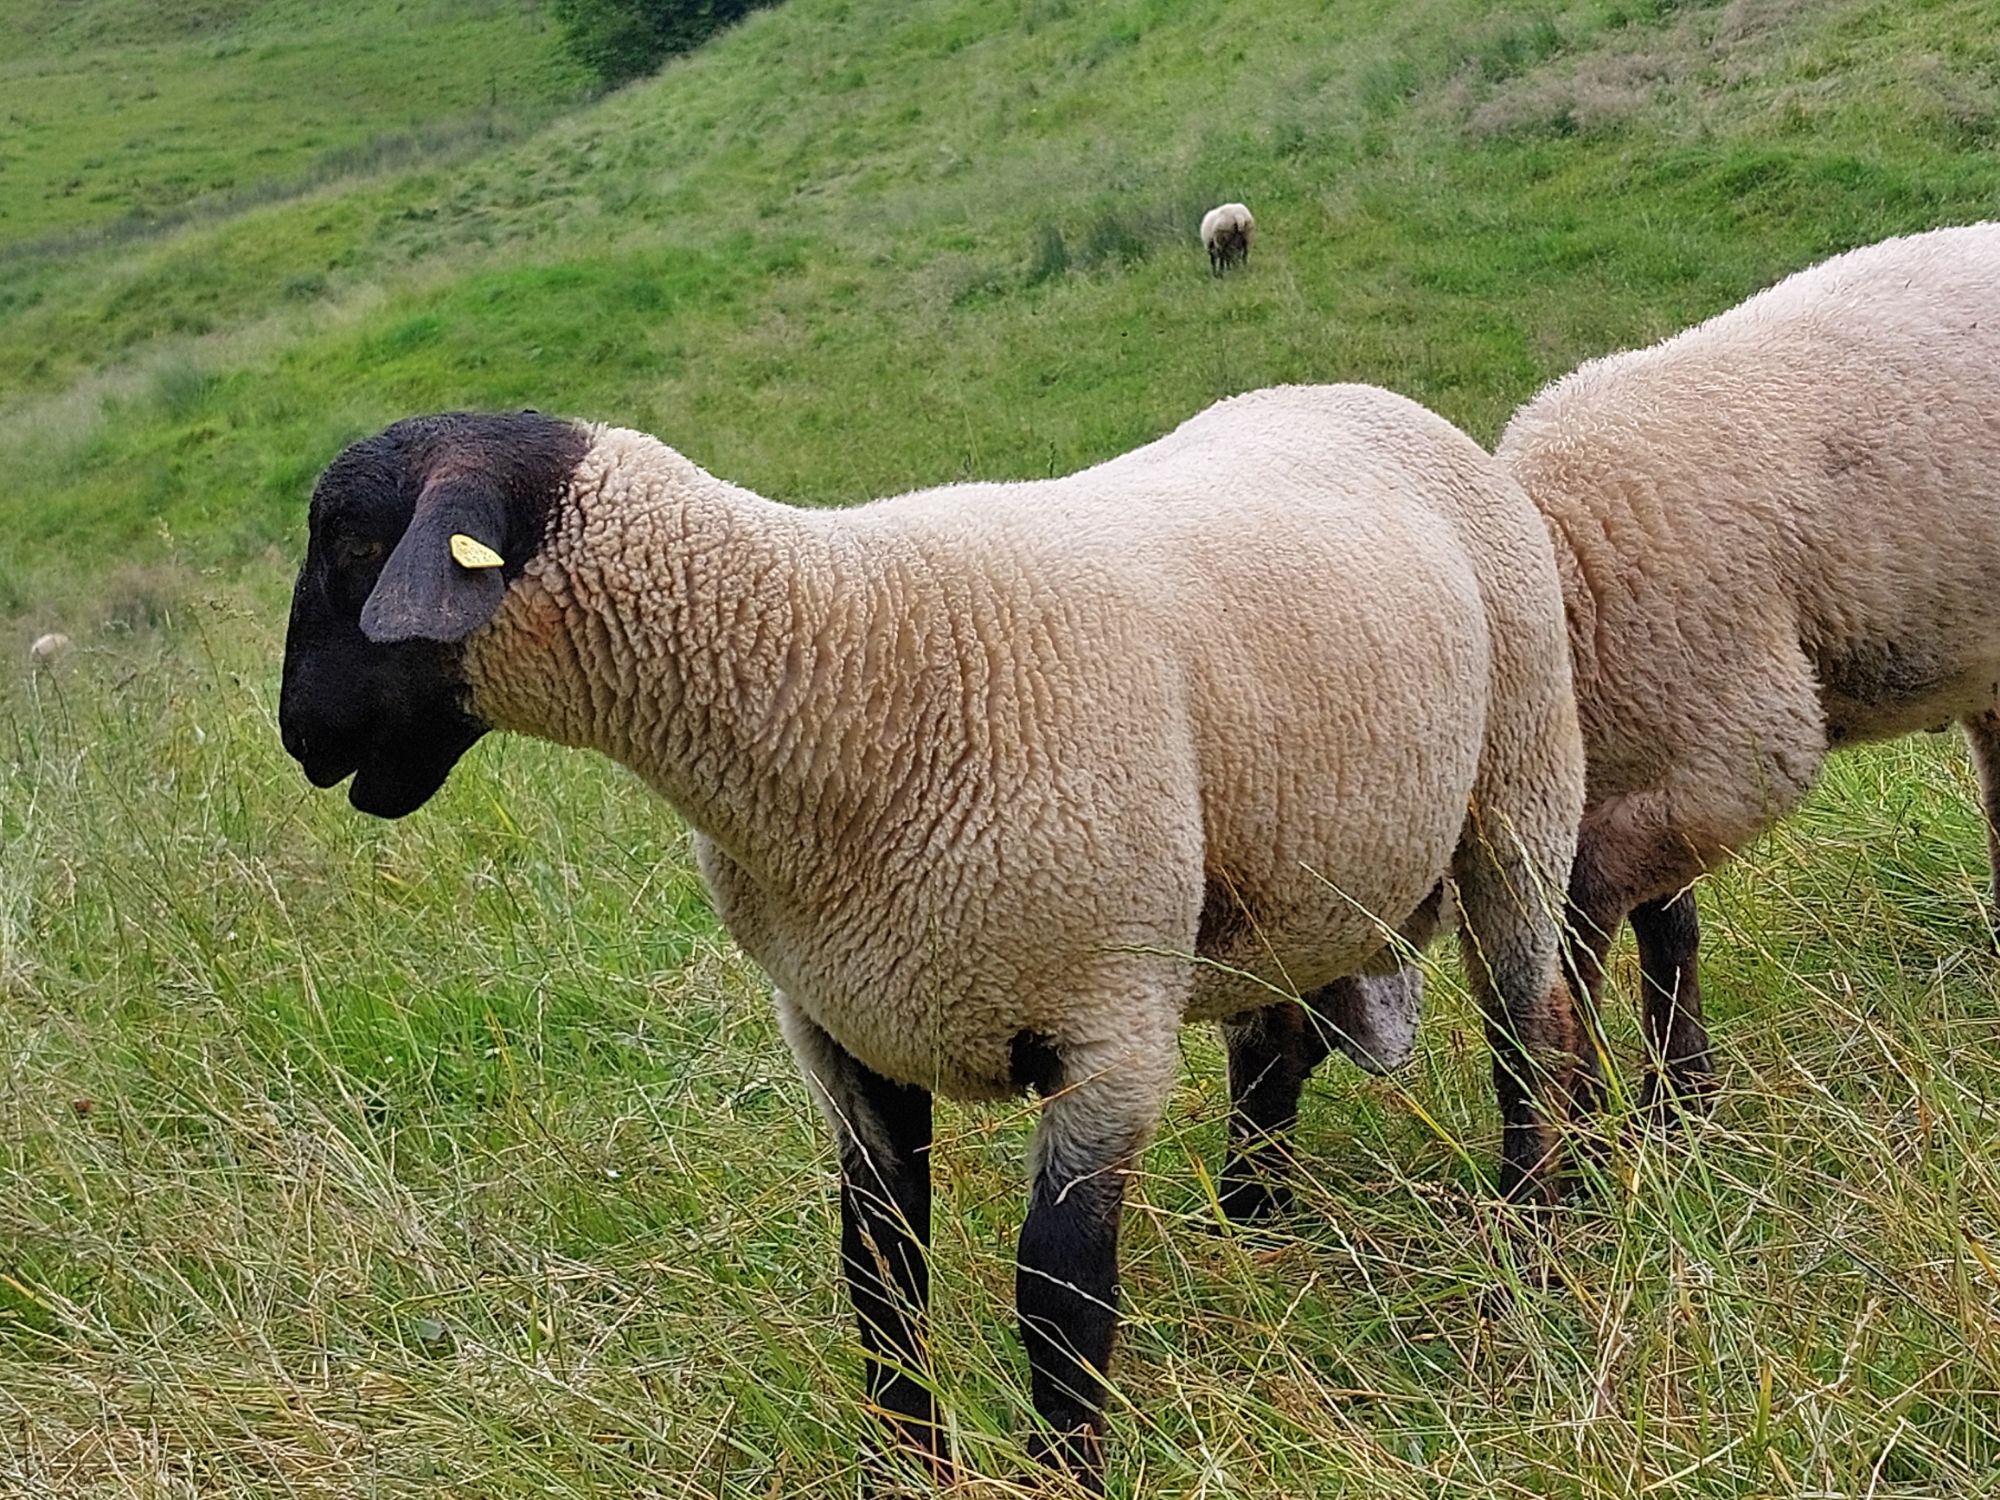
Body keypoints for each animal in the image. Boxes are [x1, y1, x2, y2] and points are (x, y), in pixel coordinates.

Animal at [278, 385, 1584, 1490]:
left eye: (352, 548)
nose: (296, 735)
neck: (840, 663)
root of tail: (1366, 394)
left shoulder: (1105, 1029)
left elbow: (1056, 1295)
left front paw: (1062, 1477)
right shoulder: (841, 1031)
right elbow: (879, 1275)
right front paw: (904, 1470)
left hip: (1518, 794)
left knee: (1532, 1037)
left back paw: (1532, 1257)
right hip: (1284, 891)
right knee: (1273, 1055)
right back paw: (1256, 1232)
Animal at [1220, 222, 2000, 1204]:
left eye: (1266, 1009)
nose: (1241, 1201)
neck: (1562, 576)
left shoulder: (1740, 749)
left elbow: (1585, 918)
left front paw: (1604, 1123)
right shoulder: (1648, 767)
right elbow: (1669, 929)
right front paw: (1676, 1104)